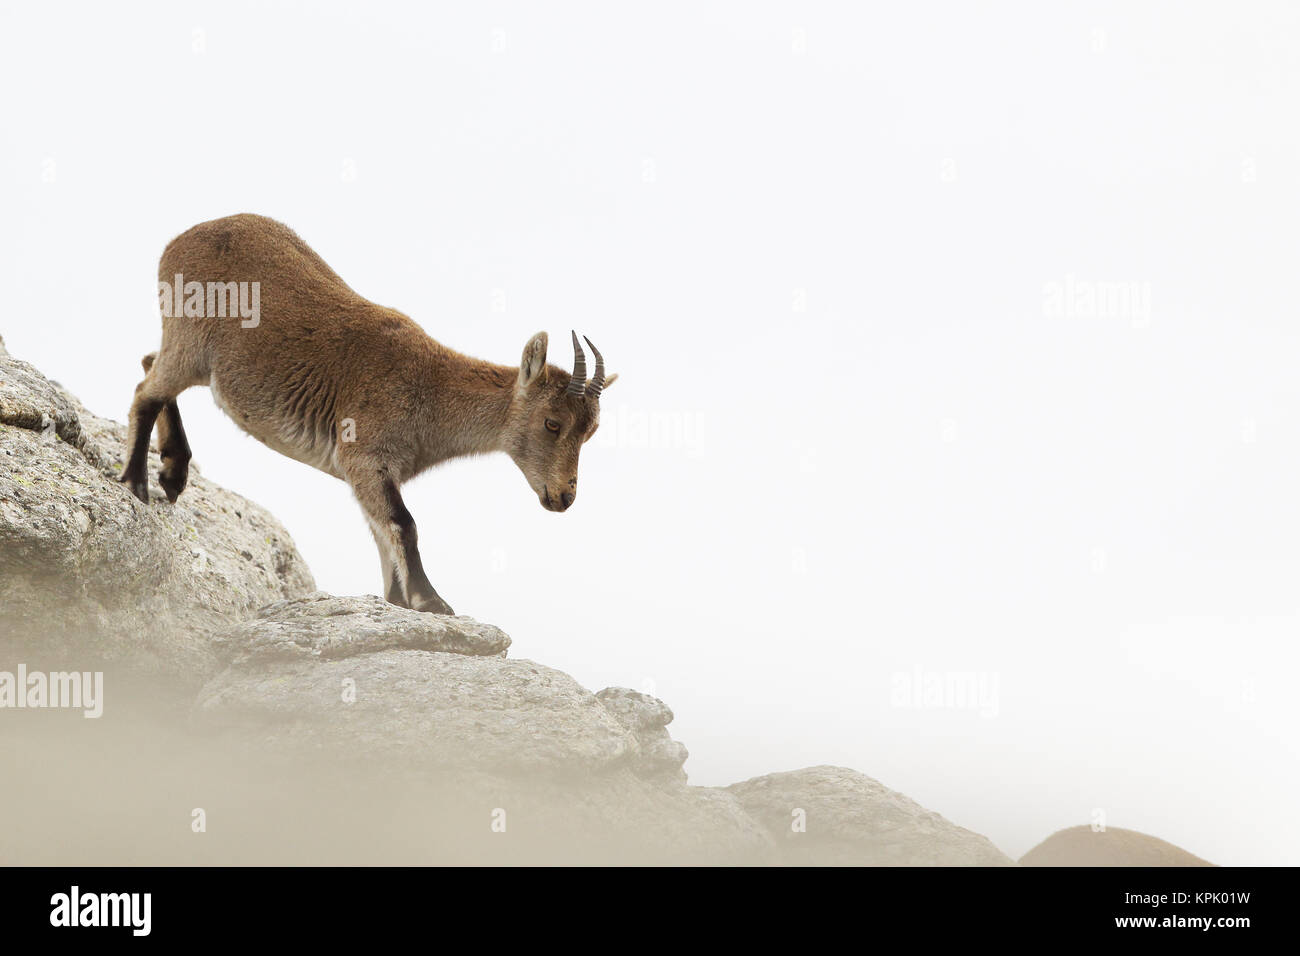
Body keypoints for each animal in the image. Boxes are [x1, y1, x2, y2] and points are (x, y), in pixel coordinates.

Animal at [121, 213, 615, 614]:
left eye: (590, 432)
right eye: (552, 423)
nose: (564, 496)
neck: (430, 391)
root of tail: (177, 242)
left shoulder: (373, 474)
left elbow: (383, 533)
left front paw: (398, 600)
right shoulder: (364, 456)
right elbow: (404, 524)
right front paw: (431, 601)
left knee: (147, 362)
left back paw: (173, 472)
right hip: (191, 343)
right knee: (146, 390)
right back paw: (138, 482)